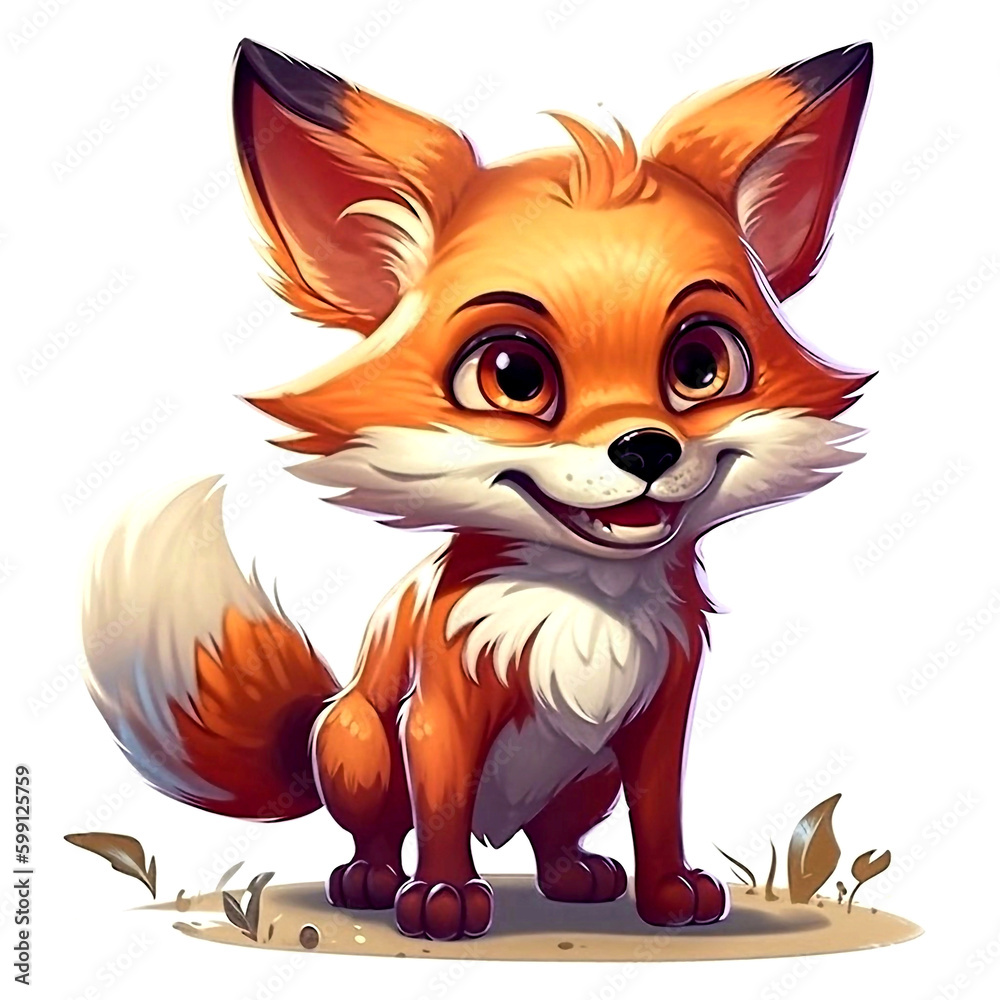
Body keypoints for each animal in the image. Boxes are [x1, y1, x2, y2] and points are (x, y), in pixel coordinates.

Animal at [83, 38, 873, 941]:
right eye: (514, 376)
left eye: (700, 366)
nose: (646, 445)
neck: (587, 607)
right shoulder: (439, 707)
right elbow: (441, 807)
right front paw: (443, 898)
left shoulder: (658, 717)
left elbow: (660, 812)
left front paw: (672, 893)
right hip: (355, 738)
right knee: (384, 827)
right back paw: (369, 880)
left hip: (586, 774)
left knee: (551, 837)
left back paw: (575, 875)